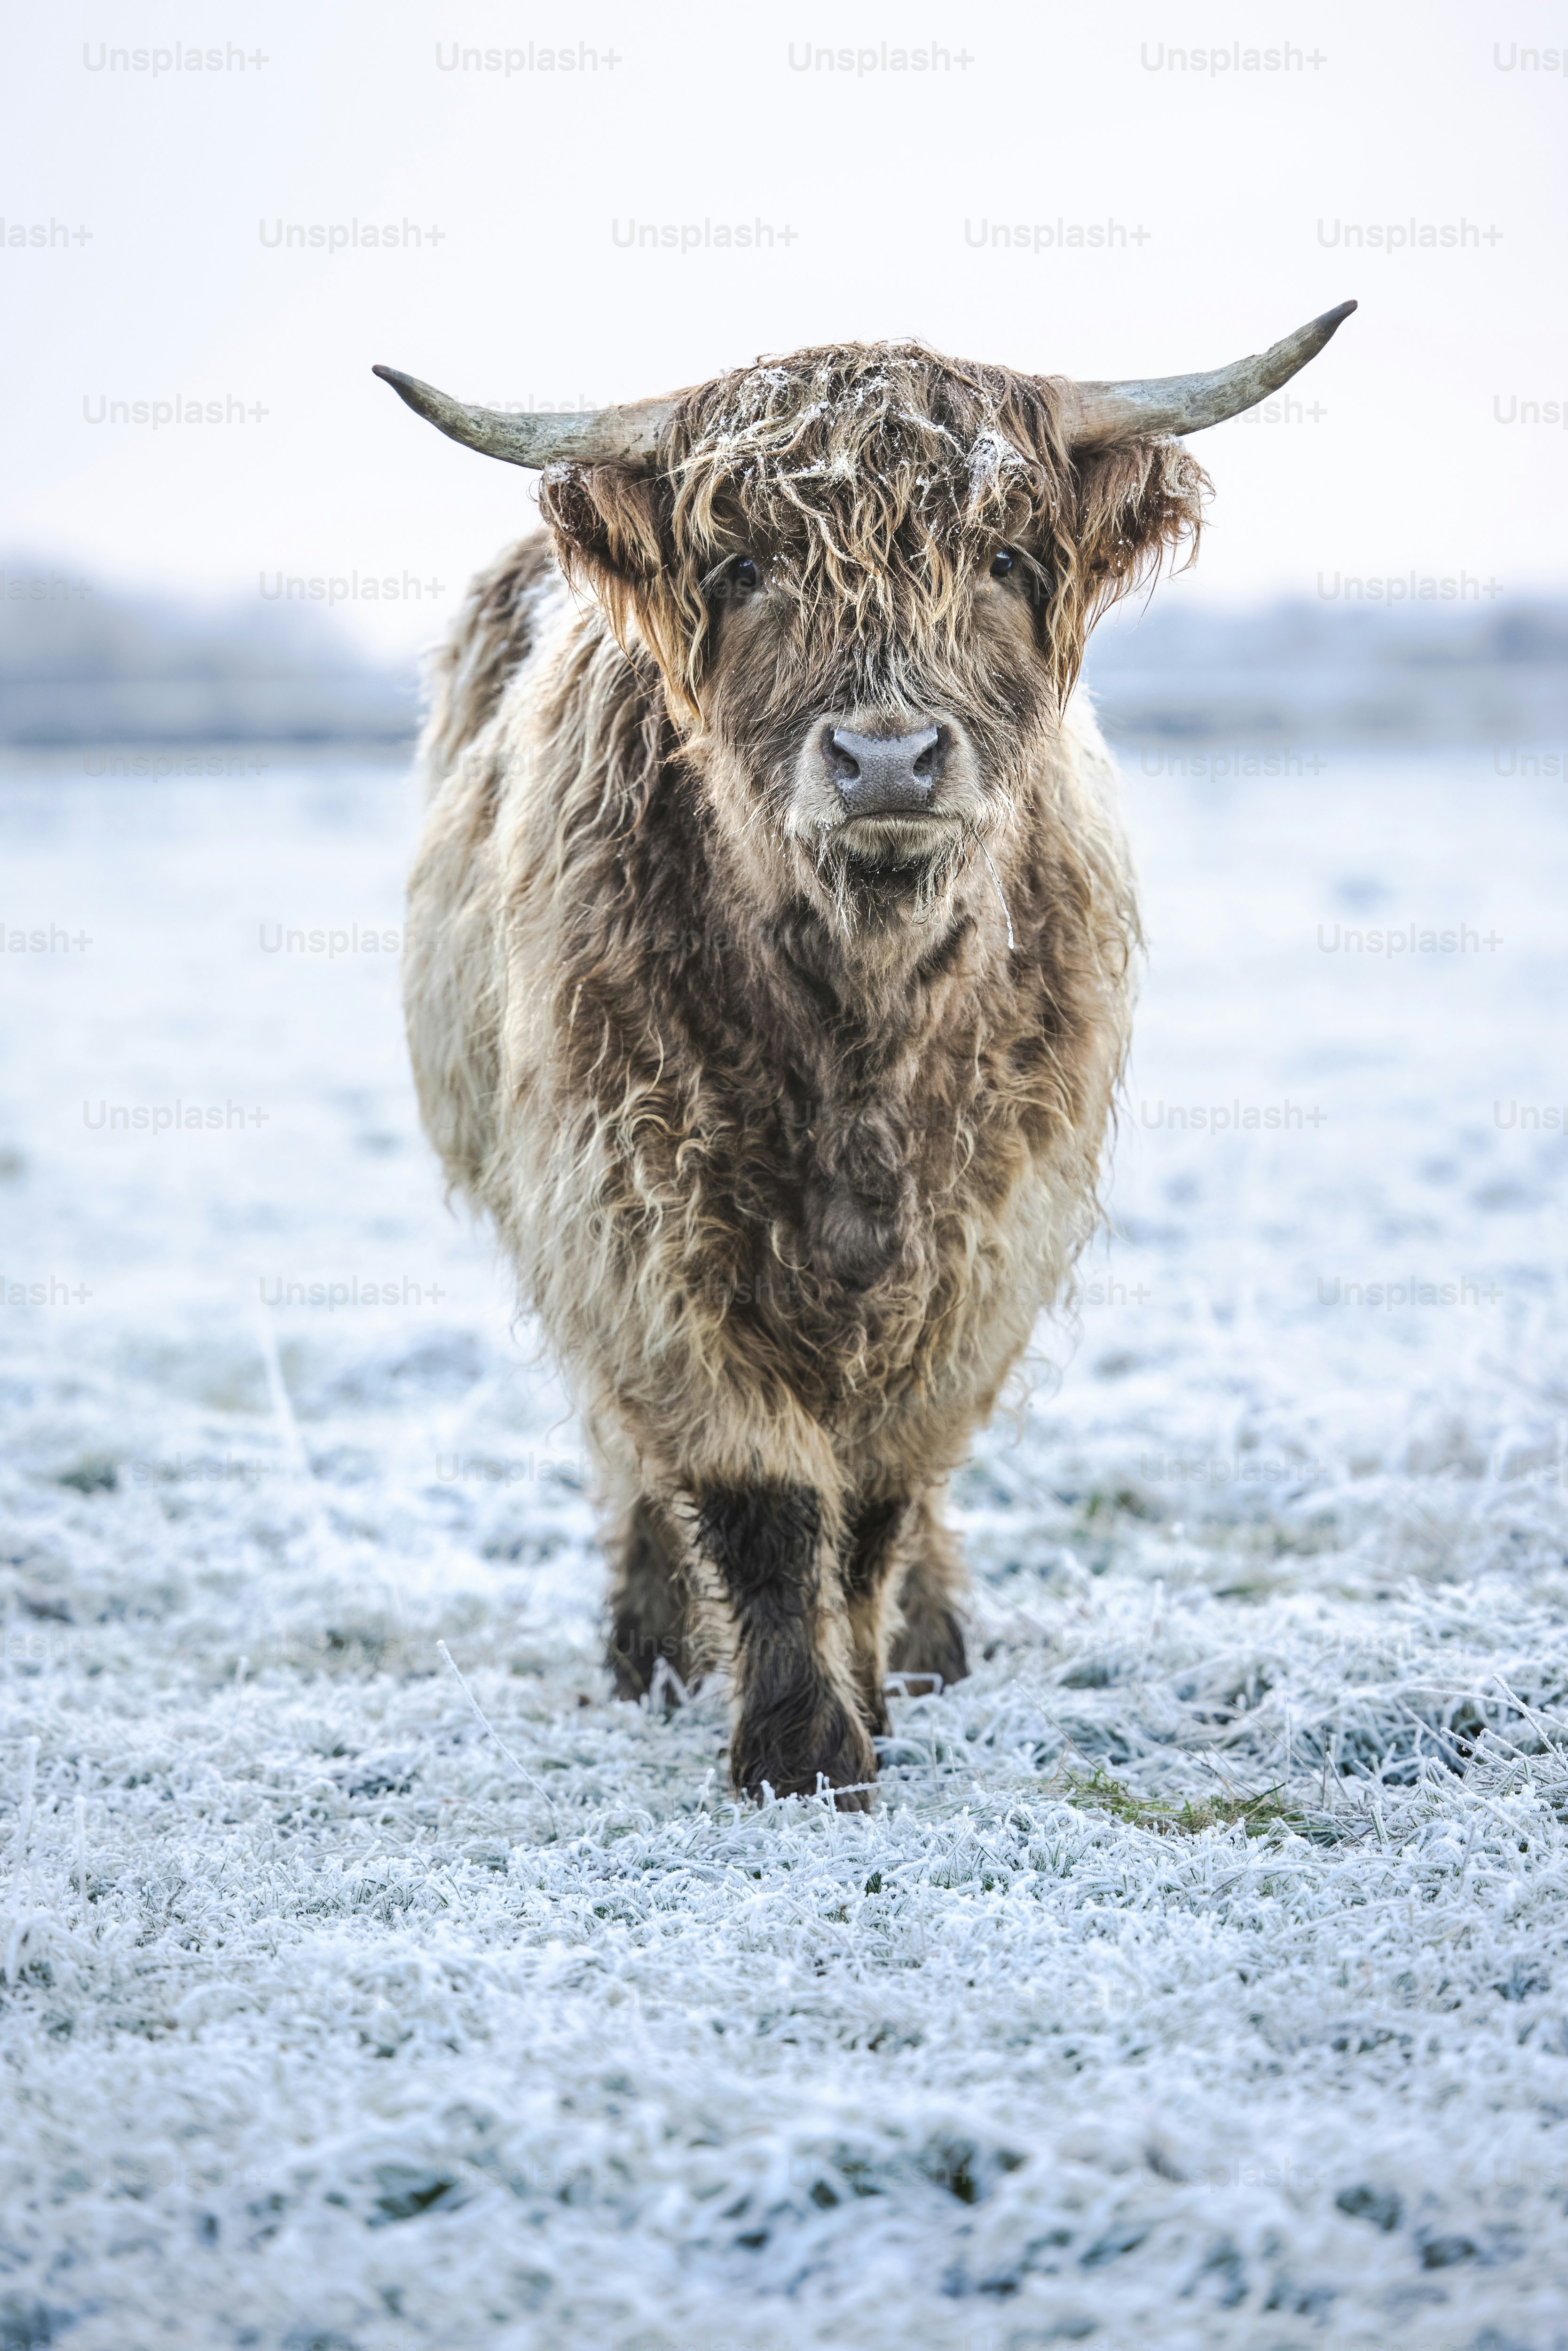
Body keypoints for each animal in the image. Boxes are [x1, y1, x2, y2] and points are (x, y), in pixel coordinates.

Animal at [377, 305, 1355, 1808]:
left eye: (1003, 559)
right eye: (741, 569)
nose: (886, 760)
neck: (860, 1029)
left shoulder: (990, 1232)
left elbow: (883, 1490)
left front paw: (871, 1696)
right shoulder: (633, 1210)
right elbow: (761, 1495)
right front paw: (797, 1747)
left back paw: (929, 1641)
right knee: (626, 1447)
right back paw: (650, 1647)